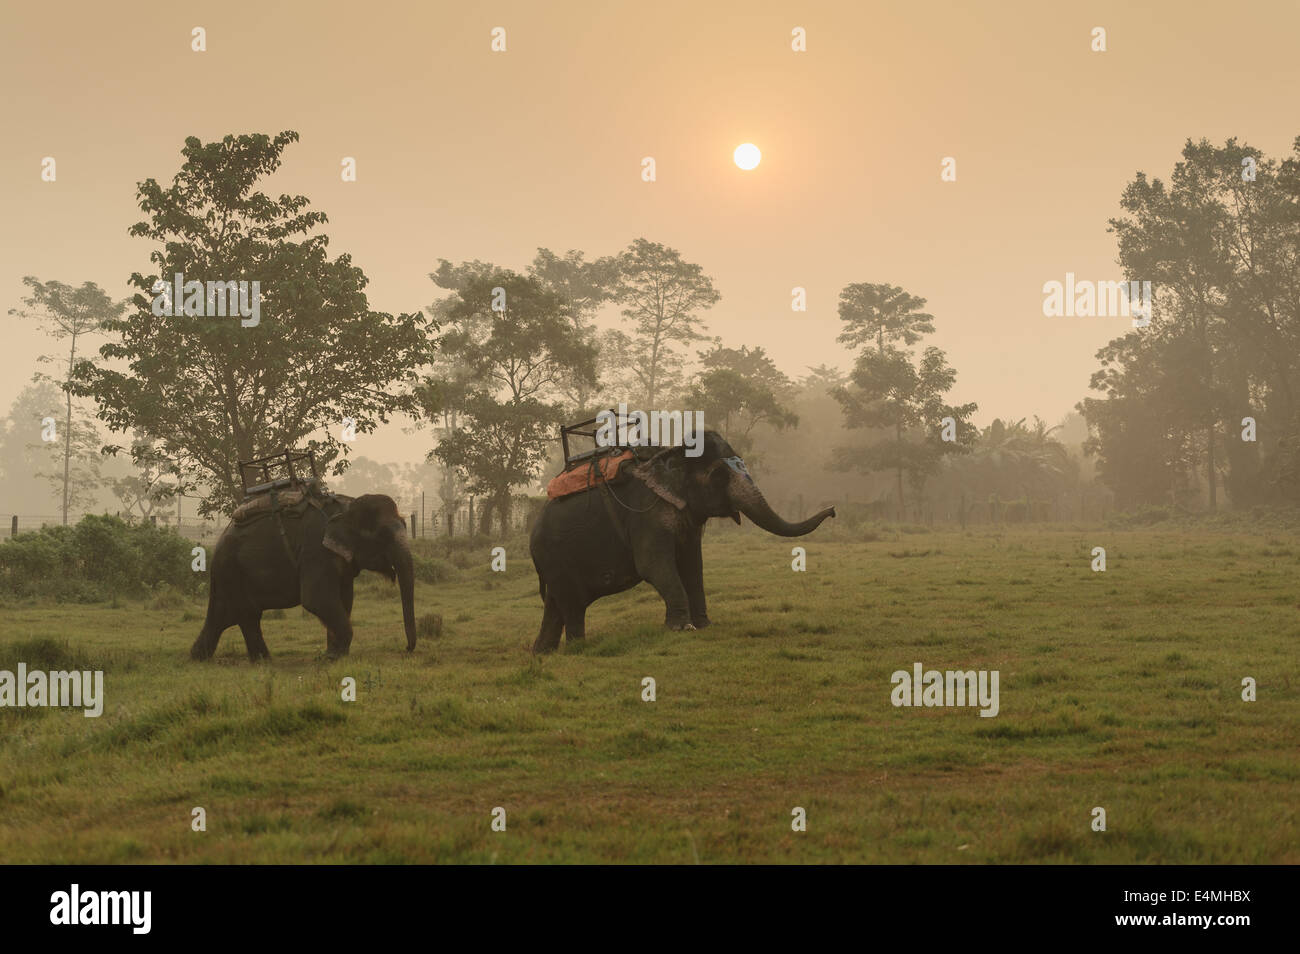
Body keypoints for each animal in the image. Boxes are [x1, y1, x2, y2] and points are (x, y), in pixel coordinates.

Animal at [190, 492, 417, 662]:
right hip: (232, 571)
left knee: (229, 616)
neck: (346, 508)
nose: (406, 649)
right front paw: (333, 658)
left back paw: (203, 657)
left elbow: (344, 599)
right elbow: (316, 599)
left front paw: (334, 654)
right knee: (244, 615)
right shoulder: (315, 550)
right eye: (383, 535)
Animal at [529, 430, 835, 653]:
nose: (833, 510)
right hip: (555, 557)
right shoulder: (646, 513)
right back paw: (577, 647)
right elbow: (653, 566)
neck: (671, 451)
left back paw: (542, 652)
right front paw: (681, 628)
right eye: (719, 476)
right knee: (571, 605)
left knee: (556, 604)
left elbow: (692, 566)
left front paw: (704, 625)